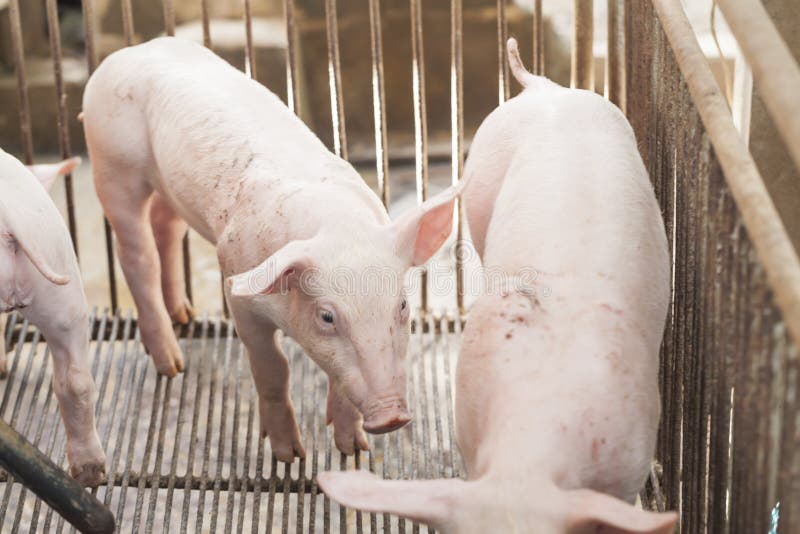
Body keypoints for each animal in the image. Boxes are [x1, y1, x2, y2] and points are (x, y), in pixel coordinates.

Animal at [81, 37, 465, 461]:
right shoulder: (239, 292)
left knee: (165, 229)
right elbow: (273, 367)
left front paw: (352, 449)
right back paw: (171, 365)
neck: (336, 225)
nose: (392, 415)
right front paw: (289, 454)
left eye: (402, 306)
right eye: (327, 316)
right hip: (112, 163)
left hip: (169, 188)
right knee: (136, 253)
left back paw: (184, 314)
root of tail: (131, 50)